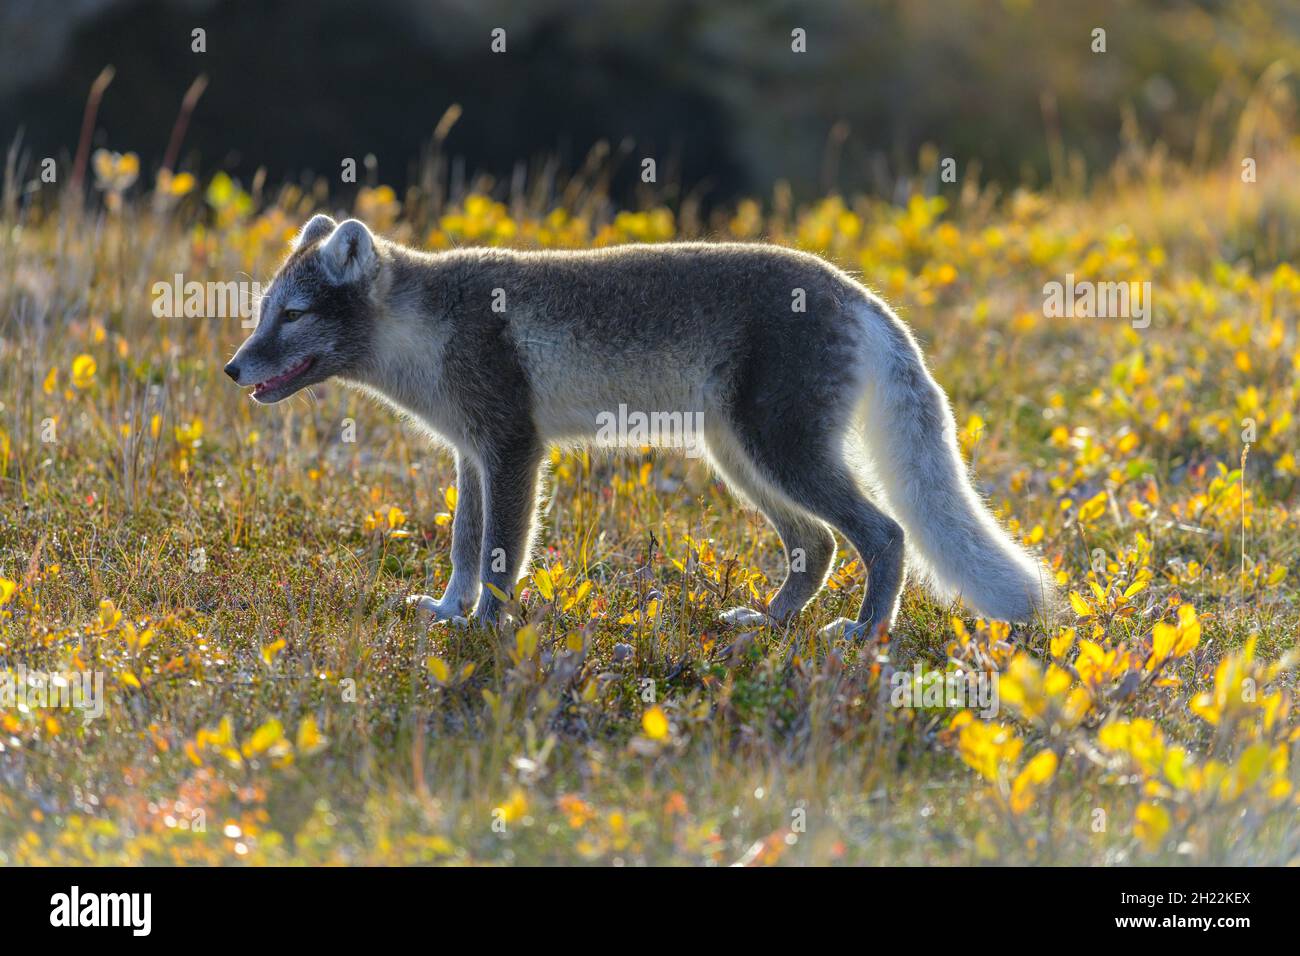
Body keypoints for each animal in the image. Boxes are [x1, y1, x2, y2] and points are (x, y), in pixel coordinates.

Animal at [225, 214, 1052, 636]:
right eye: (265, 309)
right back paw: (768, 621)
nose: (233, 368)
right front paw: (446, 611)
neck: (423, 329)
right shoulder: (471, 453)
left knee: (885, 534)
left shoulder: (513, 448)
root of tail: (860, 295)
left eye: (292, 315)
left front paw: (485, 626)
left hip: (779, 451)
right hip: (740, 457)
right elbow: (463, 545)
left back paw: (862, 635)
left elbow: (499, 553)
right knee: (816, 545)